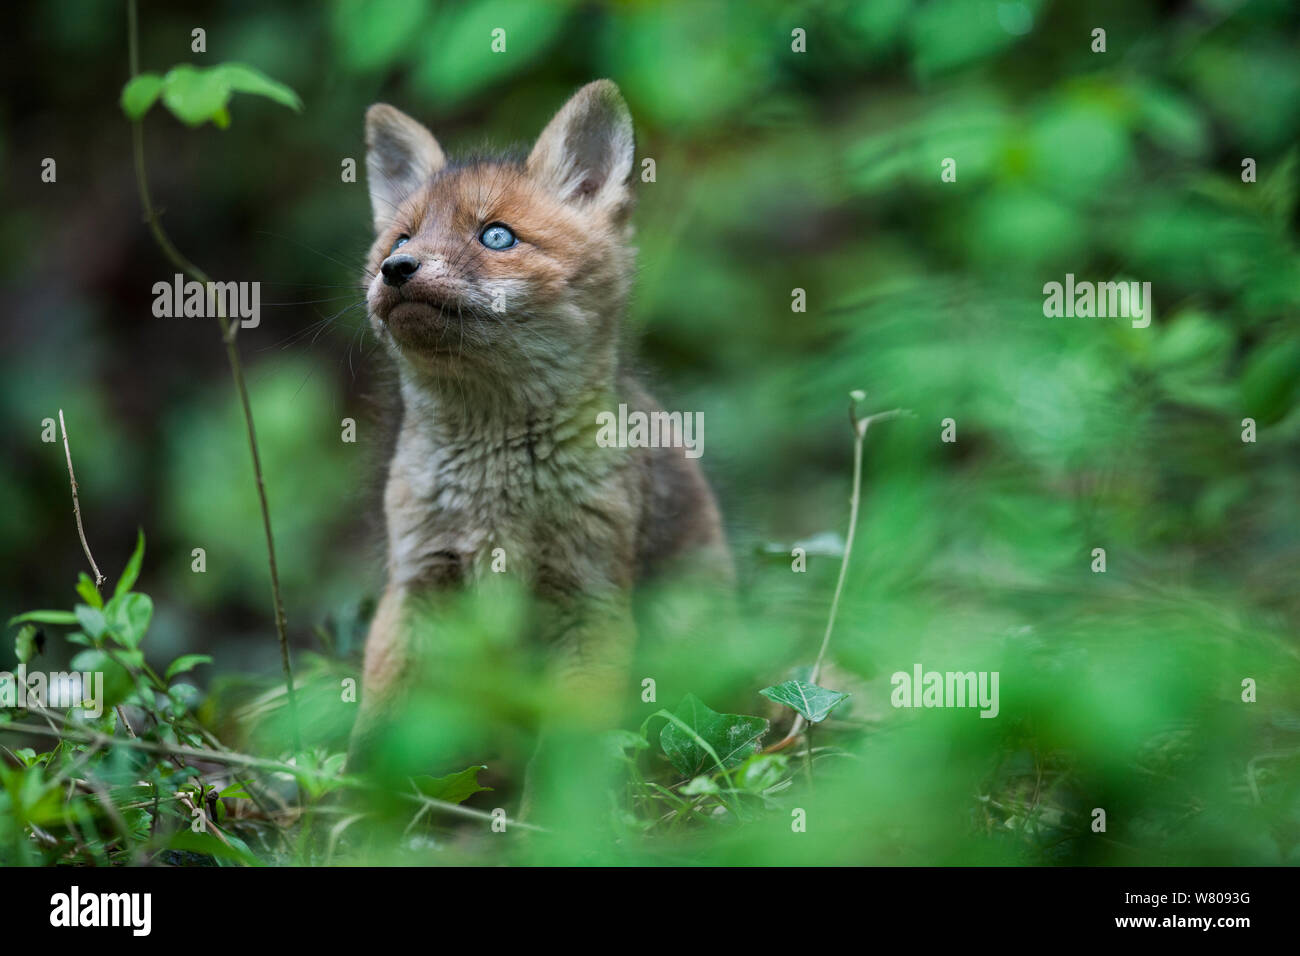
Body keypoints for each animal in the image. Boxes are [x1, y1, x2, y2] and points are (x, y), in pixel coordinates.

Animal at [348, 81, 732, 784]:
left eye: (497, 235)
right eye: (402, 236)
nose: (397, 268)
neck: (494, 485)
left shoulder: (588, 601)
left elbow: (565, 761)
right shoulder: (415, 585)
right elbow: (377, 736)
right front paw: (343, 808)